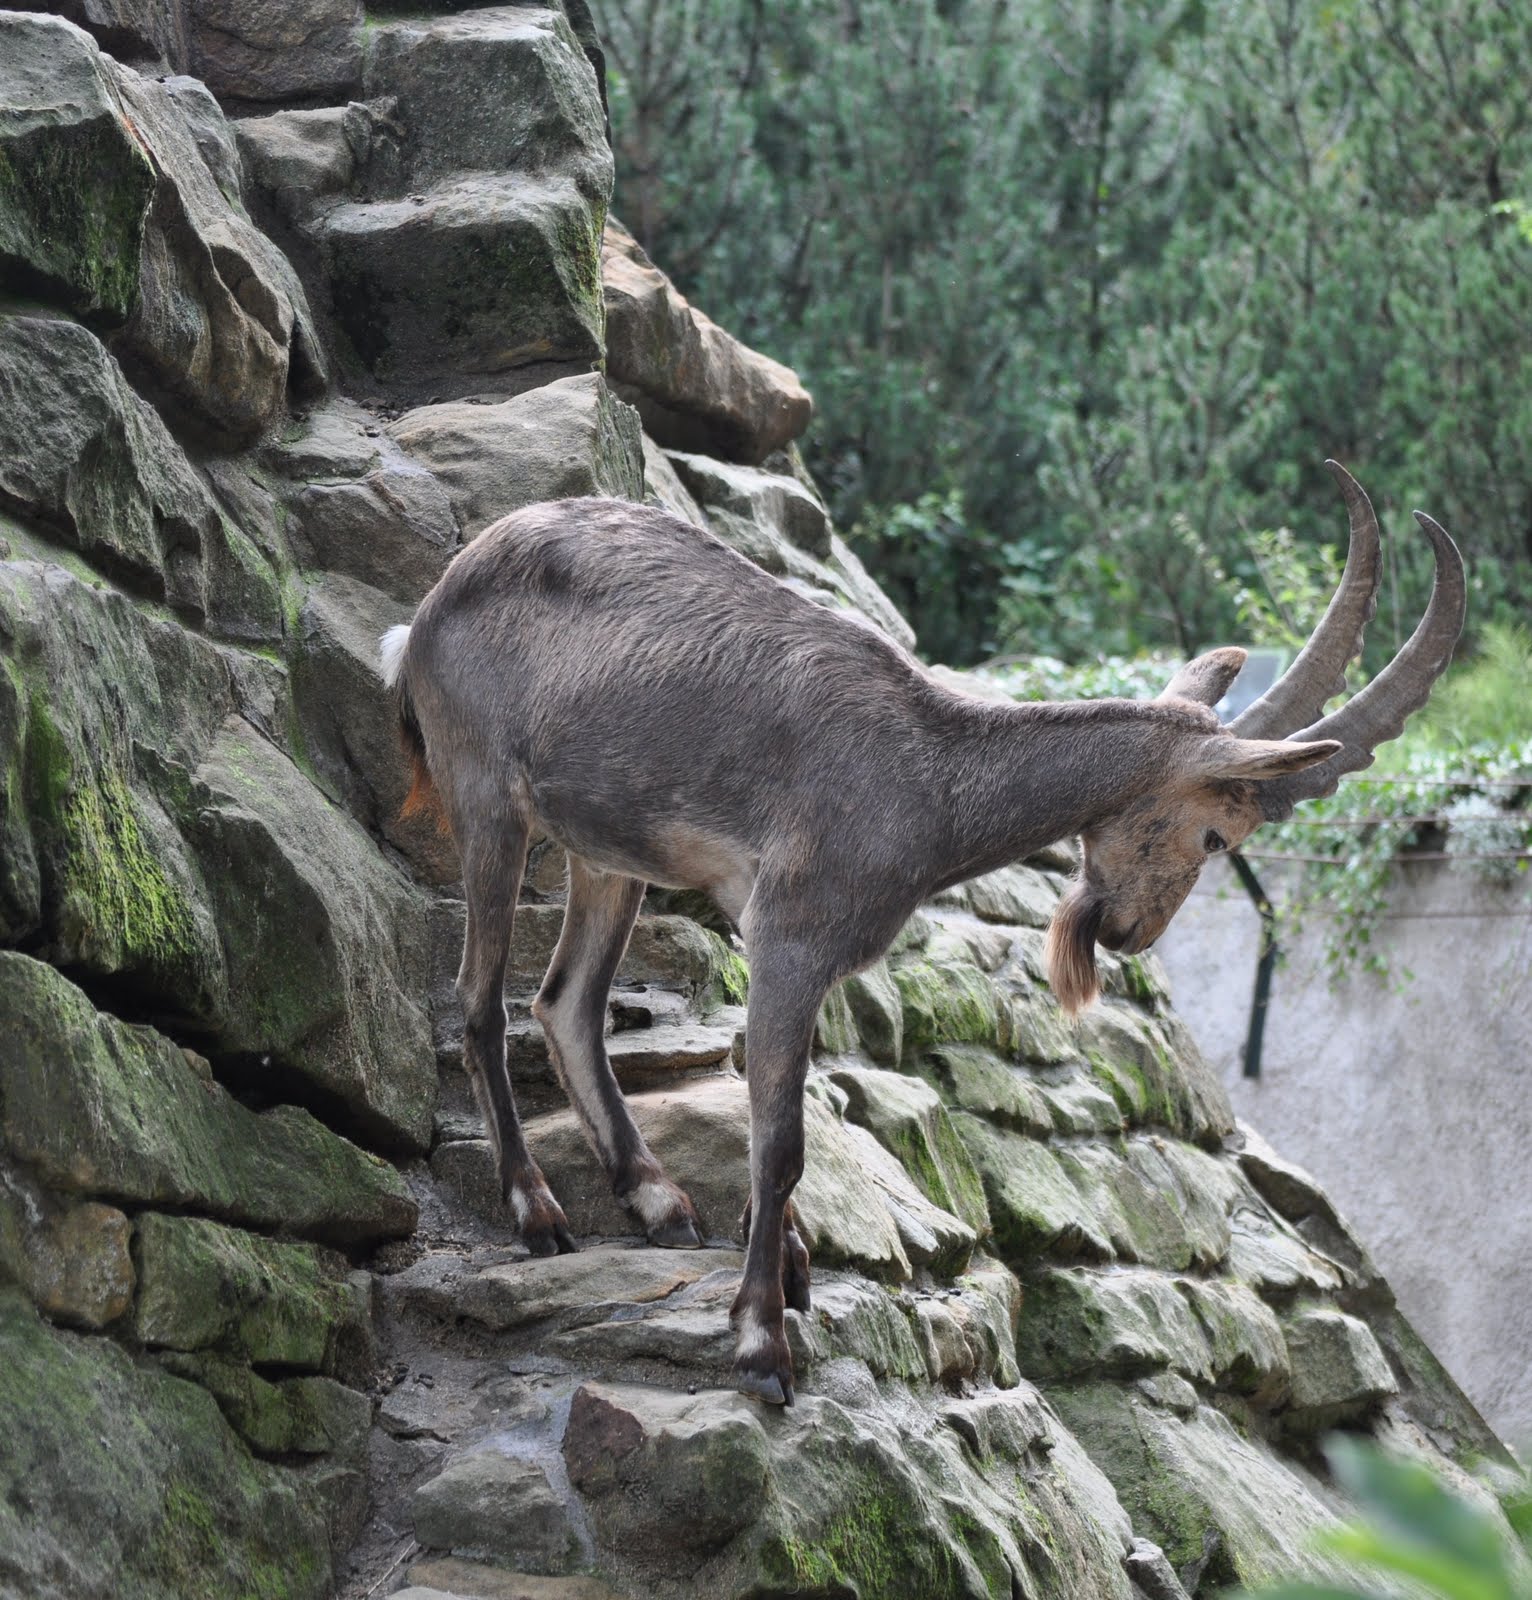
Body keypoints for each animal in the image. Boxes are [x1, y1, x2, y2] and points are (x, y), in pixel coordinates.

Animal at [380, 461, 1463, 1405]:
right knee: (480, 1003)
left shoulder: (805, 956)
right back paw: (539, 1216)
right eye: (1217, 831)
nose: (1131, 932)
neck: (928, 779)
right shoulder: (789, 932)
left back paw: (656, 1202)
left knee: (565, 1003)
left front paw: (793, 1272)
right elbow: (783, 1138)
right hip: (489, 797)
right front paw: (762, 1344)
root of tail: (429, 610)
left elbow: (795, 1113)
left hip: (608, 852)